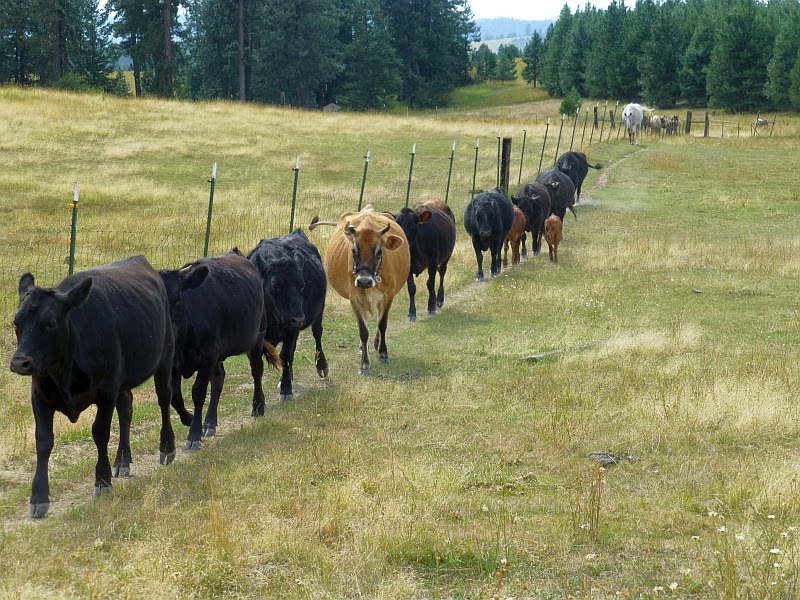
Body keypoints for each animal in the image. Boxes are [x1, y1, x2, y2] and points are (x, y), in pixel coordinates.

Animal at [10, 255, 177, 518]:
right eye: (16, 322)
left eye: (51, 323)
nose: (19, 362)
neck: (64, 372)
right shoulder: (39, 396)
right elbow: (43, 440)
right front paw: (38, 497)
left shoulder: (106, 392)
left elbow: (100, 433)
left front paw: (102, 481)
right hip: (123, 380)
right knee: (126, 408)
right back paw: (122, 461)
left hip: (164, 358)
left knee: (164, 399)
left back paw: (167, 448)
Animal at [159, 249, 280, 449]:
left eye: (177, 301)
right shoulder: (175, 363)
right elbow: (175, 396)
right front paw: (191, 419)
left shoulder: (208, 355)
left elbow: (198, 392)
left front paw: (194, 434)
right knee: (218, 379)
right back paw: (209, 423)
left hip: (256, 337)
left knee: (256, 371)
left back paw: (258, 407)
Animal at [247, 229, 328, 401]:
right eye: (275, 285)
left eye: (302, 285)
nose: (298, 319)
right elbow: (257, 365)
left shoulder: (291, 330)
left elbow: (284, 355)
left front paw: (286, 389)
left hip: (318, 312)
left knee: (317, 333)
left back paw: (321, 366)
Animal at [309, 205, 410, 375]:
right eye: (353, 251)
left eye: (379, 251)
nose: (364, 281)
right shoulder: (355, 298)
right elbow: (363, 330)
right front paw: (364, 364)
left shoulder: (388, 295)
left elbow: (382, 324)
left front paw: (383, 353)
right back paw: (364, 347)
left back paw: (376, 343)